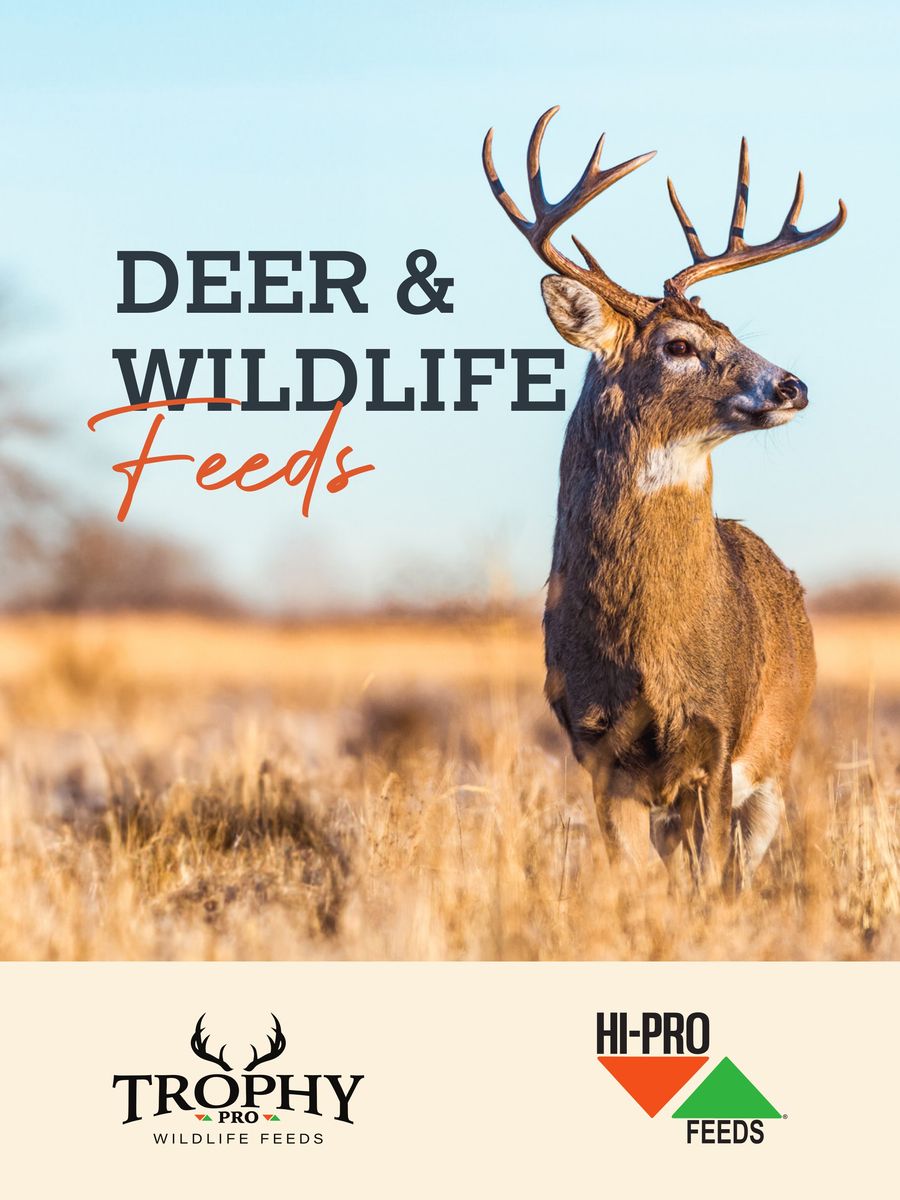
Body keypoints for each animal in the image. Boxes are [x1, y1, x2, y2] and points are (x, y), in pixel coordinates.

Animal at [483, 108, 846, 889]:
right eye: (678, 345)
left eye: (731, 329)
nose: (793, 385)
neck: (648, 650)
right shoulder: (593, 746)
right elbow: (628, 873)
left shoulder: (719, 736)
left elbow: (713, 880)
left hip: (774, 767)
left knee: (739, 866)